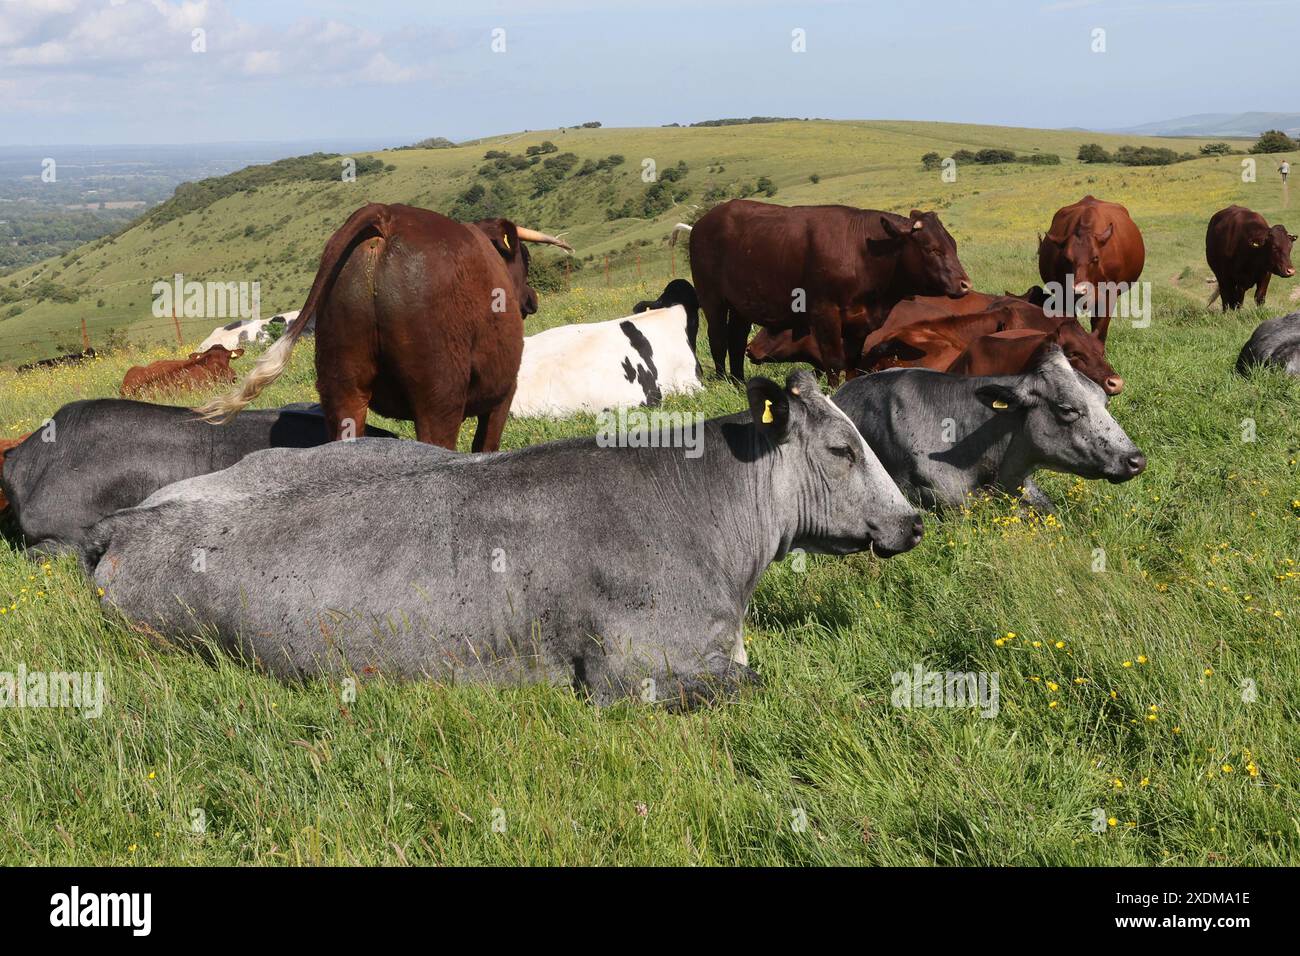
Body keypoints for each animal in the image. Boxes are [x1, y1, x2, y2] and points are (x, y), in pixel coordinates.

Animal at [196, 203, 573, 451]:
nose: (532, 298)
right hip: (439, 396)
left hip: (342, 385)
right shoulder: (503, 393)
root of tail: (387, 215)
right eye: (526, 258)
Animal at [684, 199, 972, 386]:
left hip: (741, 305)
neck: (863, 254)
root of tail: (704, 221)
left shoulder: (859, 323)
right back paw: (723, 381)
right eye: (932, 249)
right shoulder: (824, 314)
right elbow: (834, 360)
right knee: (718, 339)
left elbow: (852, 362)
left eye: (953, 245)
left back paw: (739, 382)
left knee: (736, 339)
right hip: (712, 299)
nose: (965, 284)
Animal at [1038, 196, 1145, 344]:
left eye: (1095, 258)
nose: (1079, 291)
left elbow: (1099, 330)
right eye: (1066, 258)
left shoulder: (1108, 295)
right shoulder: (1064, 295)